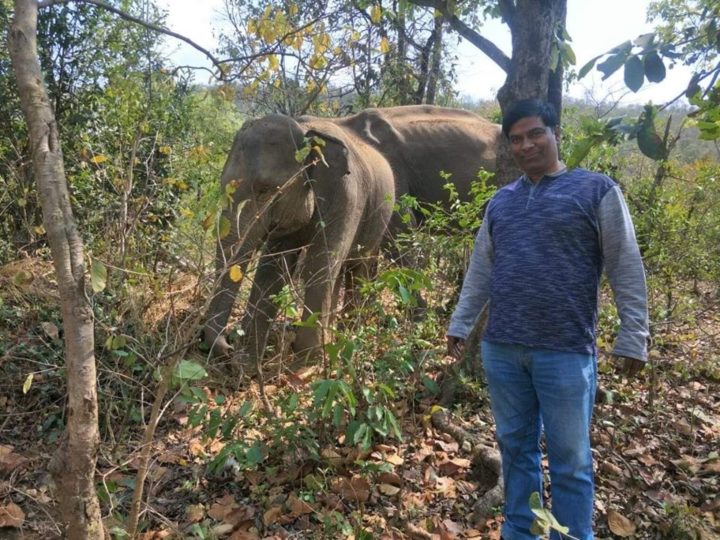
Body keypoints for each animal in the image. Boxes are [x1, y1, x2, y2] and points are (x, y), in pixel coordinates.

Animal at [203, 114, 396, 363]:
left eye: (265, 189)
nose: (227, 347)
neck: (305, 129)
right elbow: (273, 269)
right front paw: (247, 361)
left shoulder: (346, 196)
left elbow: (318, 263)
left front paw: (308, 359)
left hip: (378, 219)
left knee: (357, 268)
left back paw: (346, 339)